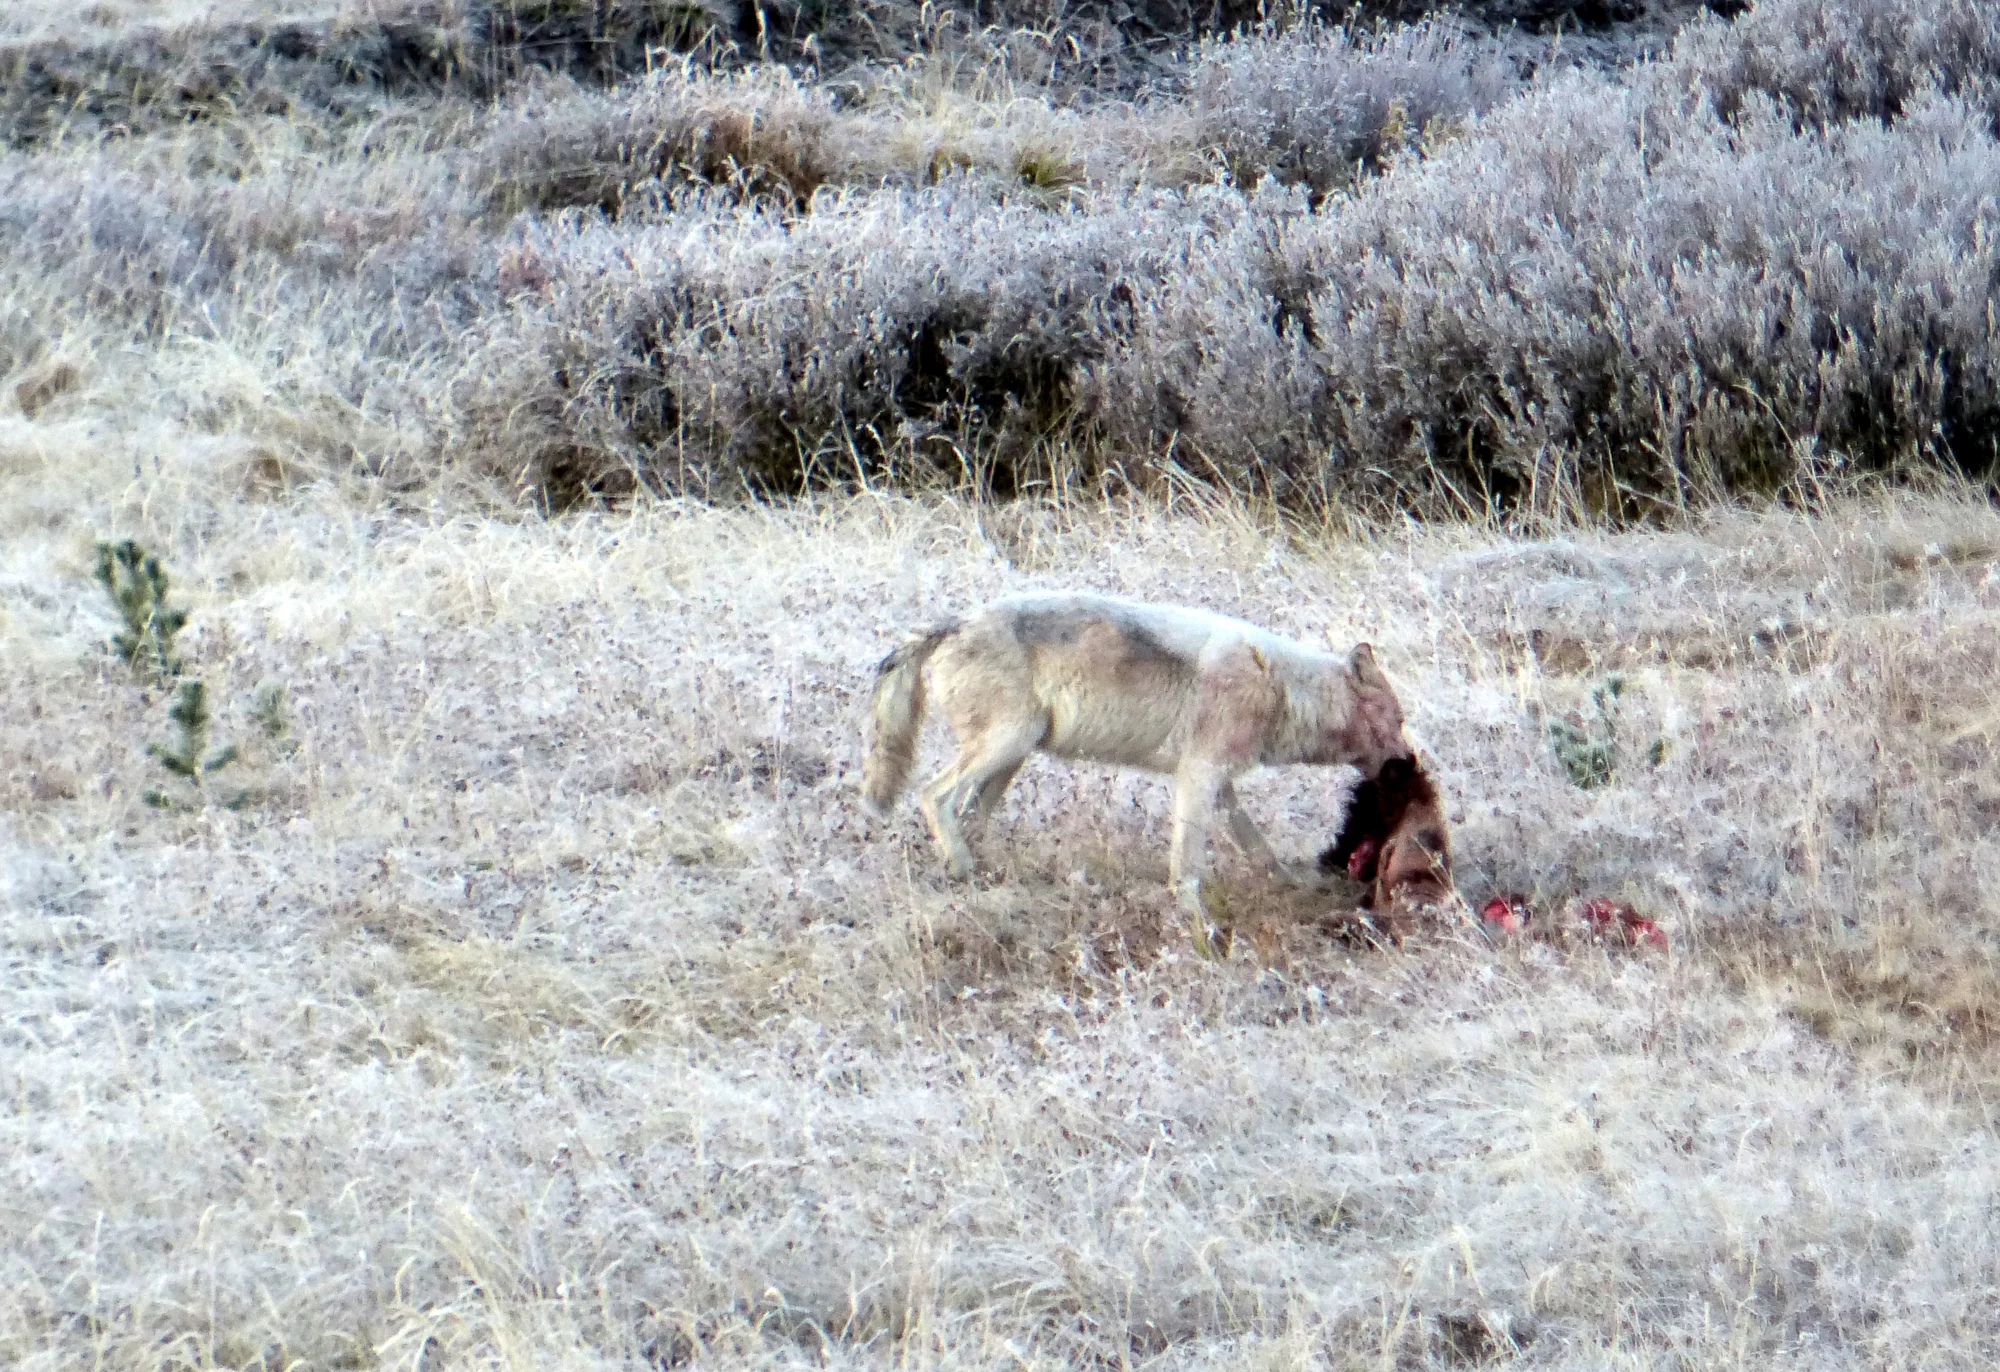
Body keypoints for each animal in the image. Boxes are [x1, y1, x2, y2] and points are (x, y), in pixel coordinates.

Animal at [862, 593, 1414, 915]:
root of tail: (951, 624)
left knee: (967, 813)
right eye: (1400, 720)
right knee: (933, 795)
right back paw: (964, 871)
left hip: (1011, 758)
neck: (1283, 689)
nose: (1410, 765)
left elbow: (1258, 848)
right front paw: (1194, 922)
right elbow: (1186, 865)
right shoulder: (1198, 777)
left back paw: (979, 875)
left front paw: (1291, 885)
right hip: (1008, 743)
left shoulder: (1220, 786)